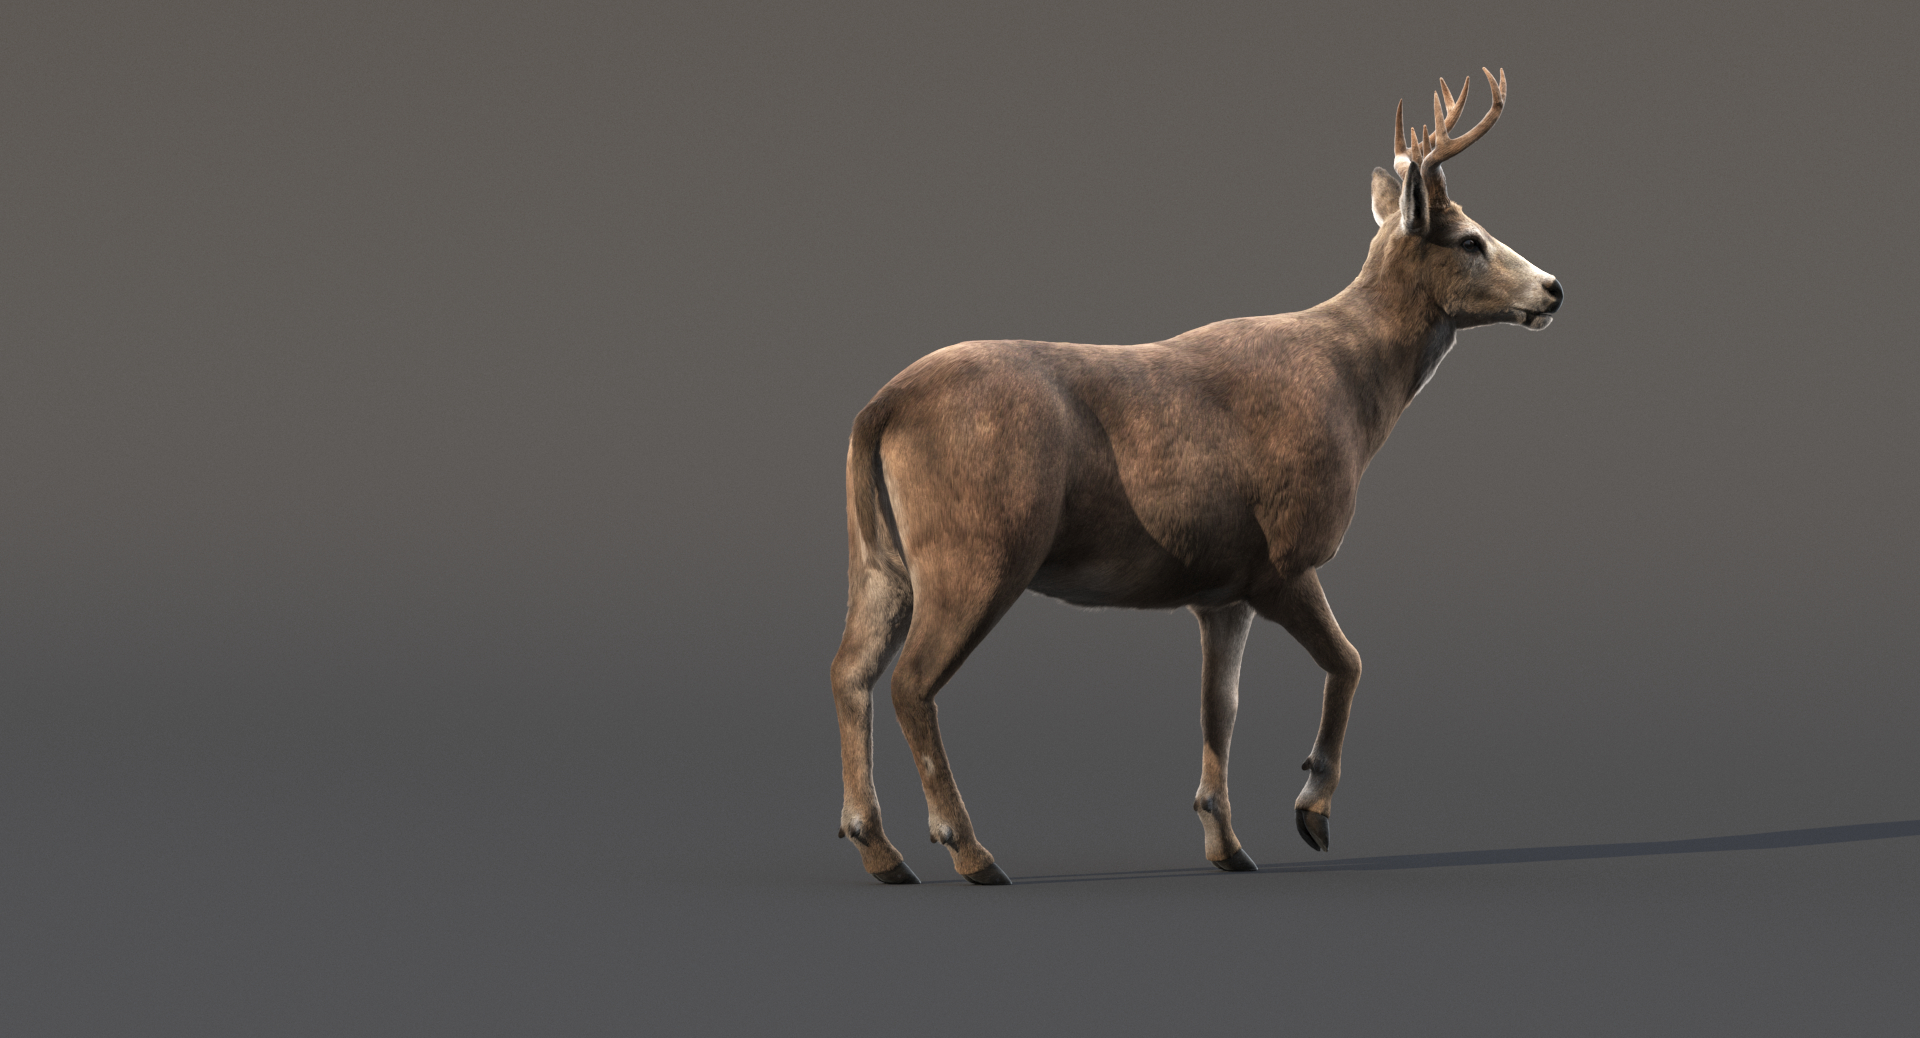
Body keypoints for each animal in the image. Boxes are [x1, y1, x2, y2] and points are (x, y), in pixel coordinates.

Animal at [831, 68, 1560, 884]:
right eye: (1470, 239)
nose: (1553, 288)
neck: (1355, 389)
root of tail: (877, 410)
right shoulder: (1283, 553)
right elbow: (1349, 661)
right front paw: (1310, 812)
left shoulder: (1220, 589)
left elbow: (1220, 707)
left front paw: (1227, 844)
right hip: (978, 548)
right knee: (910, 681)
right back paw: (969, 852)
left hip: (879, 557)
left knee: (850, 670)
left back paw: (880, 849)